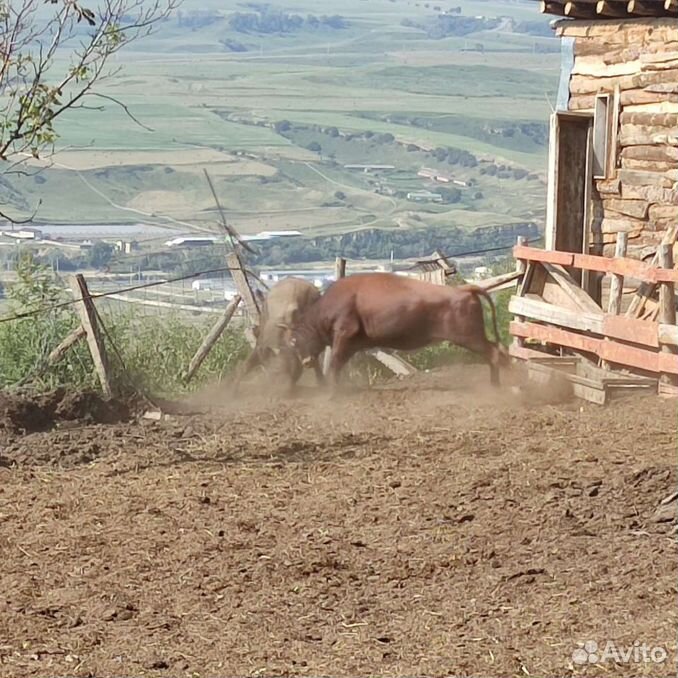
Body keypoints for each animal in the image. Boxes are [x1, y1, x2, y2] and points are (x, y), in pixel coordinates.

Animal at [286, 272, 510, 388]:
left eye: (297, 342)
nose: (306, 362)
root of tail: (463, 290)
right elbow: (338, 364)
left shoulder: (344, 335)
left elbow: (334, 364)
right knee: (500, 351)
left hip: (469, 337)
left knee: (494, 353)